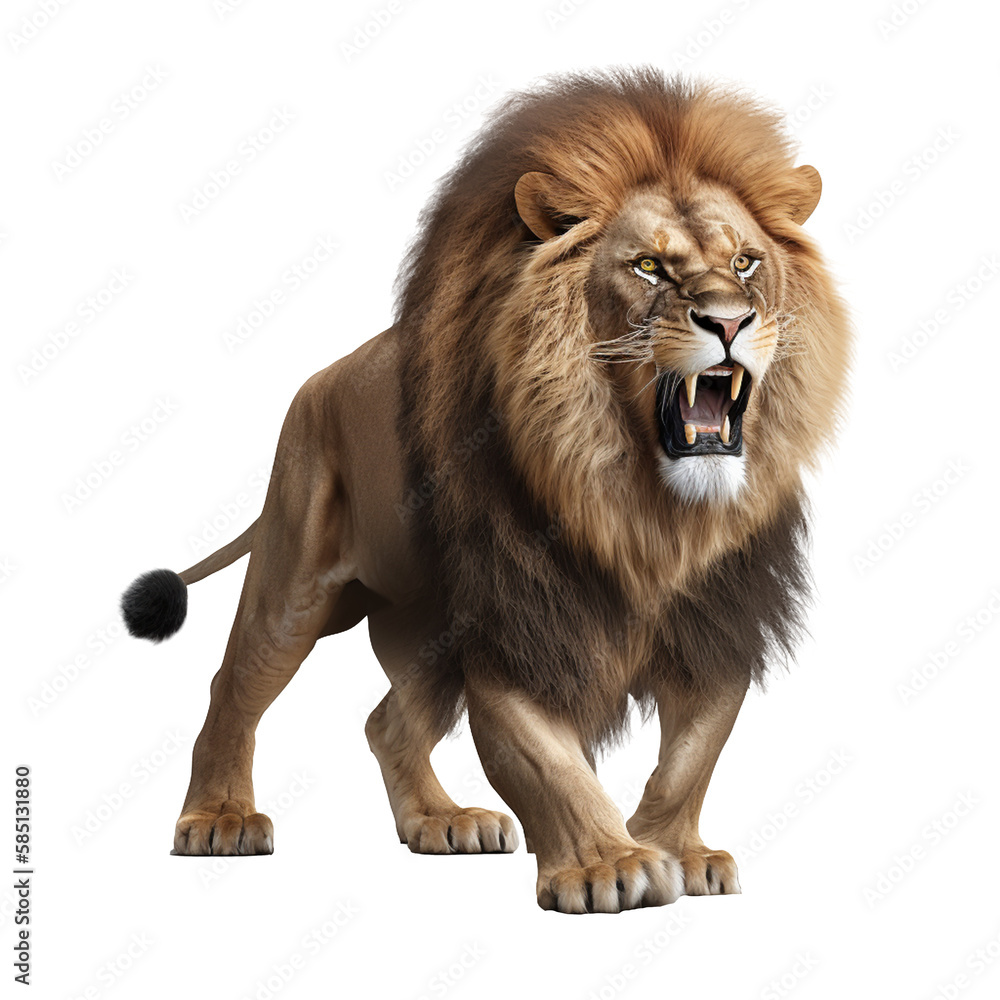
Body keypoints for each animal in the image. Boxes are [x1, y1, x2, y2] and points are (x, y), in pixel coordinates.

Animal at [121, 68, 851, 913]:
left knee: (385, 722)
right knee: (232, 686)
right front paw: (608, 864)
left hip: (429, 622)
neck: (643, 509)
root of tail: (324, 377)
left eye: (745, 264)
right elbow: (547, 761)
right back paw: (218, 818)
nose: (731, 322)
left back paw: (441, 819)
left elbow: (692, 755)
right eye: (648, 267)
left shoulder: (722, 615)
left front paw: (679, 850)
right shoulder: (514, 618)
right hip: (296, 581)